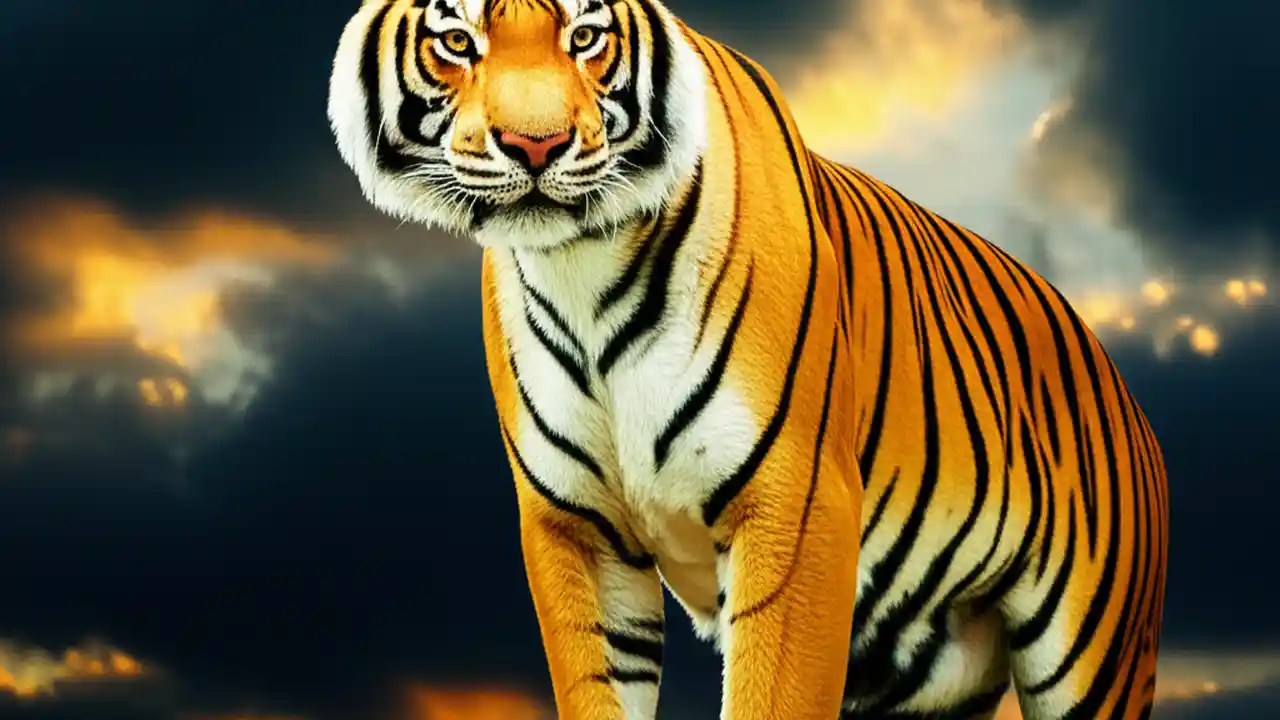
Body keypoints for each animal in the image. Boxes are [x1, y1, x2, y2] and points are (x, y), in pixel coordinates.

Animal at [327, 0, 1169, 718]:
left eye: (586, 37)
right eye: (457, 41)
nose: (536, 145)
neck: (583, 270)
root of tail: (1112, 371)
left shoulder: (792, 509)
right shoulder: (577, 532)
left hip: (1094, 654)